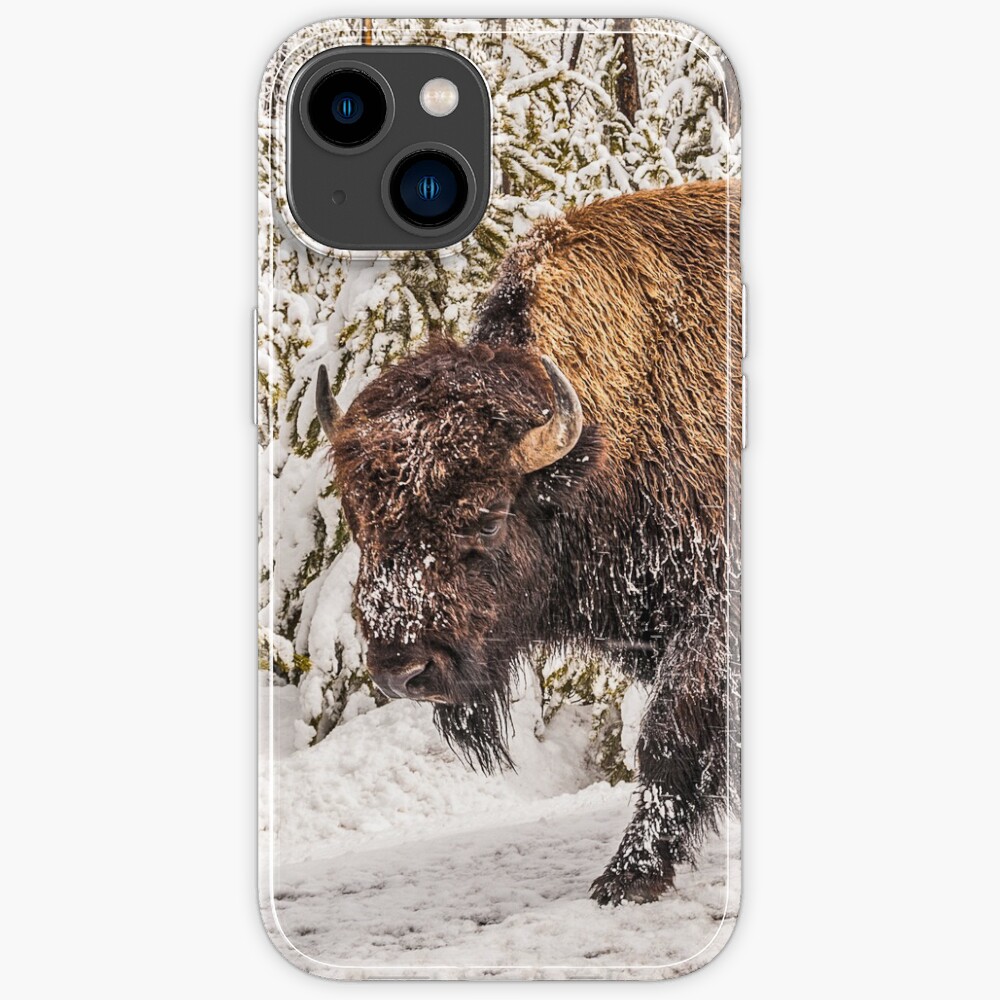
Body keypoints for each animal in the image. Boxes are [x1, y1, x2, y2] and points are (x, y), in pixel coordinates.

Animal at [316, 179, 741, 905]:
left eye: (488, 517)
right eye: (357, 516)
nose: (403, 671)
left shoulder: (709, 617)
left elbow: (667, 738)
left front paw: (627, 879)